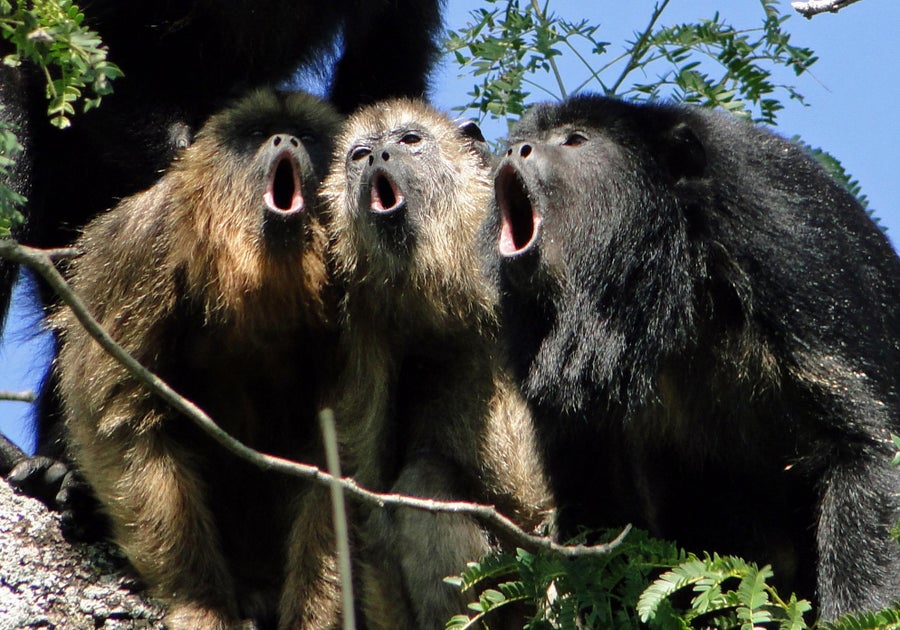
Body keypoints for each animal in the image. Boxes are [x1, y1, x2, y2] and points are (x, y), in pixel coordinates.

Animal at [51, 89, 344, 629]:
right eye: (258, 133)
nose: (286, 139)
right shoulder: (143, 244)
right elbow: (124, 422)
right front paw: (201, 603)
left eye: (307, 135)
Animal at [322, 99, 553, 629]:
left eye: (409, 141)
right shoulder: (362, 323)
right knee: (427, 480)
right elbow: (365, 494)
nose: (378, 156)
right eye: (359, 154)